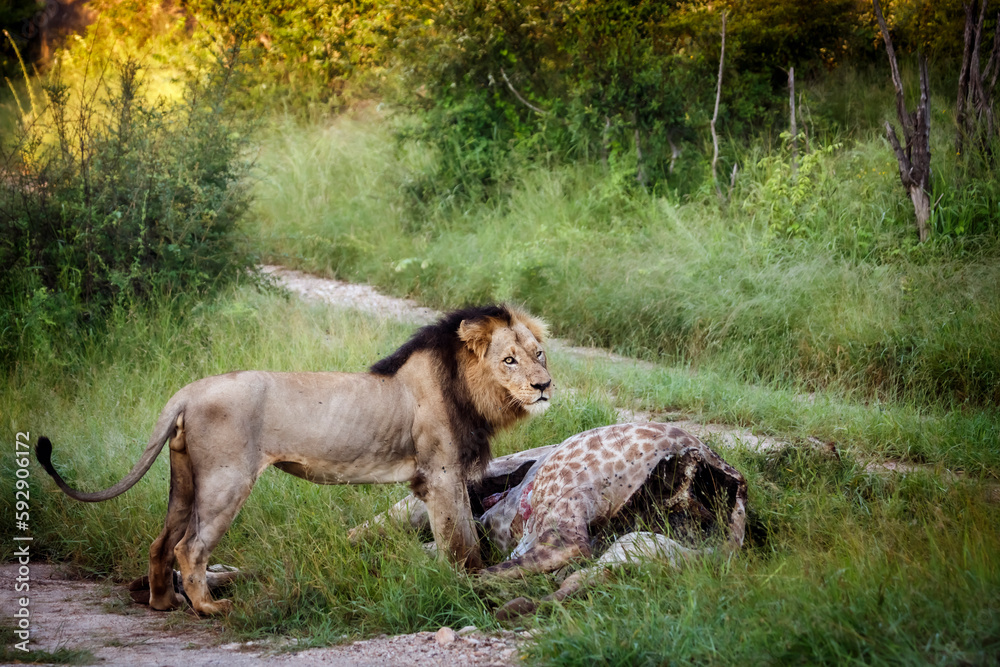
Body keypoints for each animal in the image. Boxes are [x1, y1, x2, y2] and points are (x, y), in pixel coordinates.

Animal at [36, 304, 552, 616]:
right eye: (509, 360)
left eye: (540, 354)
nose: (544, 386)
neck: (470, 391)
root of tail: (188, 391)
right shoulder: (440, 475)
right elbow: (461, 542)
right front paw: (467, 587)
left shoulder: (445, 477)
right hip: (226, 480)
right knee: (190, 547)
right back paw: (210, 608)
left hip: (184, 480)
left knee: (161, 542)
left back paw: (162, 603)